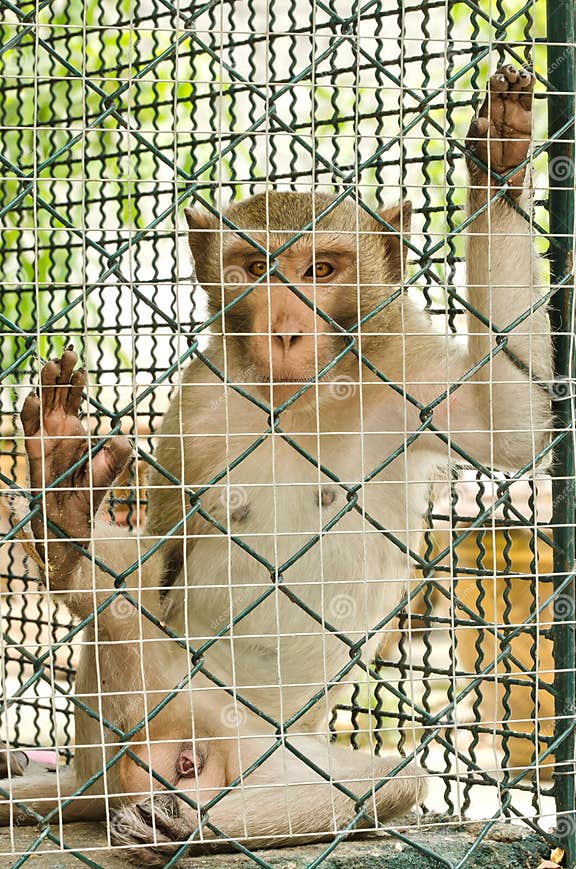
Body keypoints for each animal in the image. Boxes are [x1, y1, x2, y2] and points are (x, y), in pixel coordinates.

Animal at [0, 64, 553, 866]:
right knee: (121, 620)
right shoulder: (194, 412)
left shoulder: (405, 370)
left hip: (280, 755)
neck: (294, 401)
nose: (284, 327)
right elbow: (156, 559)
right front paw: (69, 514)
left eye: (319, 268)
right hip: (153, 707)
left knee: (386, 782)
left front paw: (500, 161)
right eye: (254, 269)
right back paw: (72, 543)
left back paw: (193, 823)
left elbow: (510, 426)